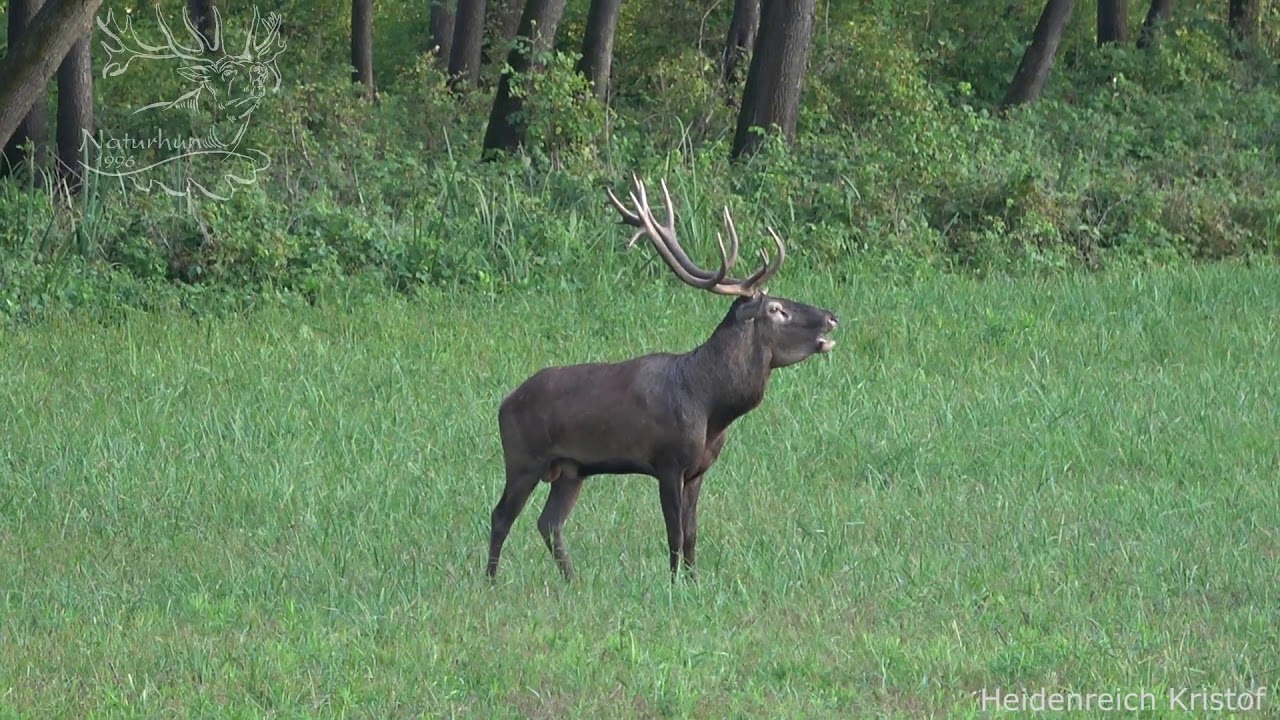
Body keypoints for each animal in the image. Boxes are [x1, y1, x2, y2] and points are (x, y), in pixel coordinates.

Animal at [486, 175, 838, 581]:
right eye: (777, 309)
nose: (832, 316)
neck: (711, 406)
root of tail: (503, 404)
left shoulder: (698, 470)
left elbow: (692, 533)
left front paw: (695, 579)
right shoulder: (668, 462)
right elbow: (674, 533)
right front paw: (674, 584)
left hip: (571, 470)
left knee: (549, 523)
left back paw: (571, 580)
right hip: (523, 458)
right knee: (501, 516)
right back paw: (491, 580)